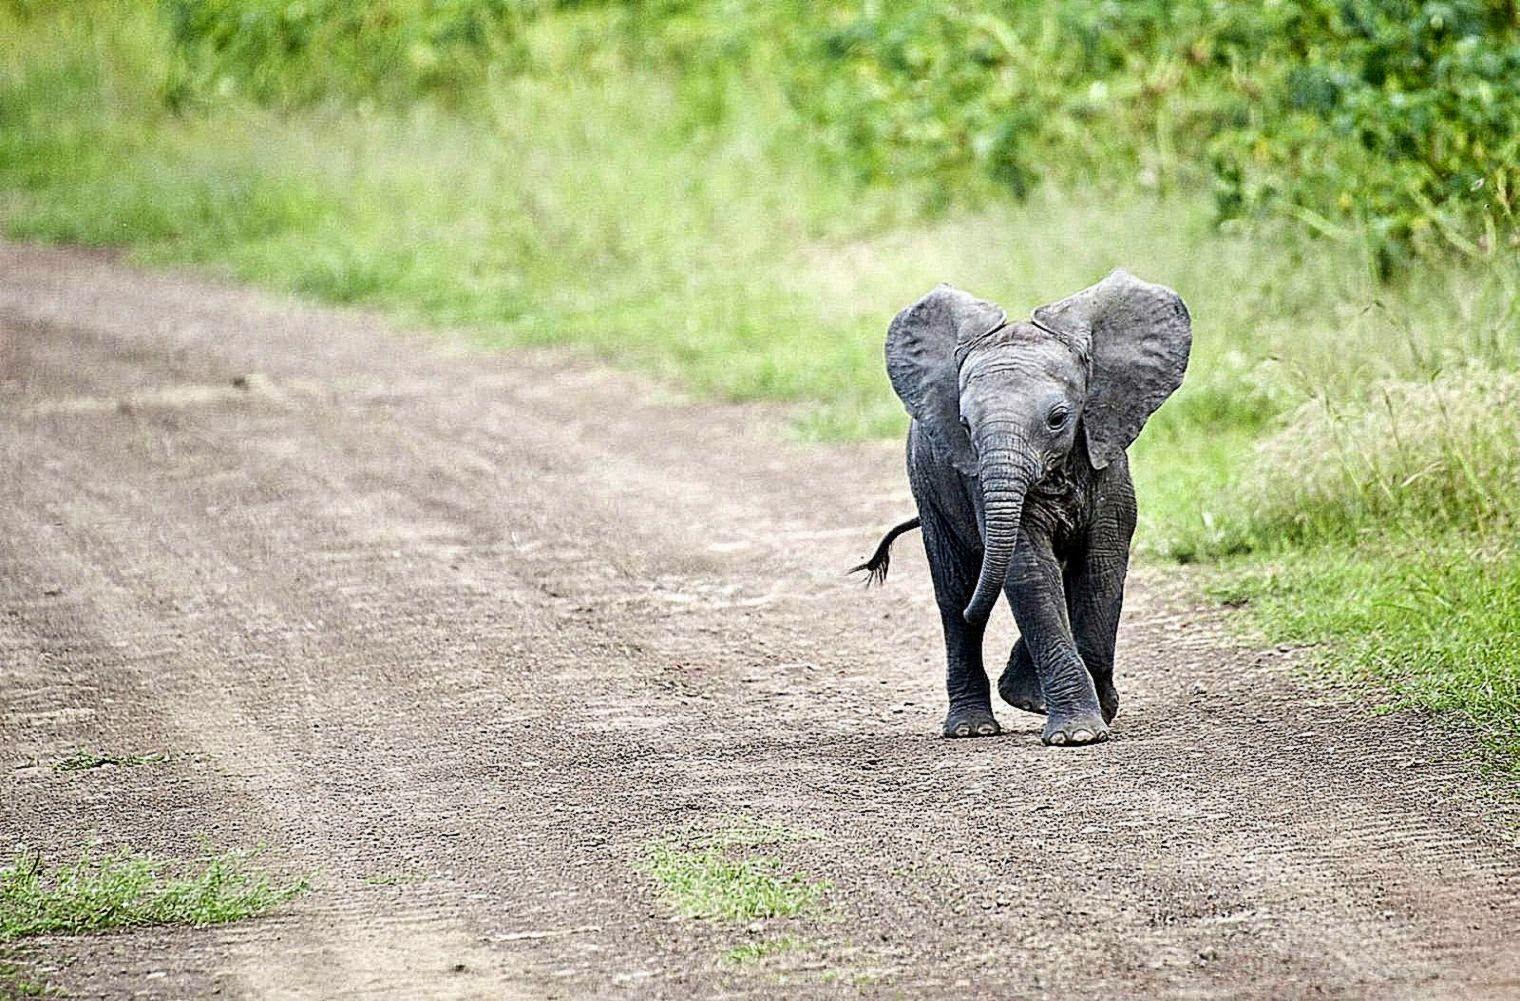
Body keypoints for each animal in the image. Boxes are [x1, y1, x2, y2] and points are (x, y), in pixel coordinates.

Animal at [854, 269, 1191, 746]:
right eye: (965, 425)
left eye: (1058, 419)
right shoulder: (978, 484)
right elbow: (1030, 570)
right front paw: (1079, 735)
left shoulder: (1107, 459)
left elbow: (1101, 569)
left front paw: (1094, 718)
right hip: (928, 489)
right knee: (954, 596)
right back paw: (973, 728)